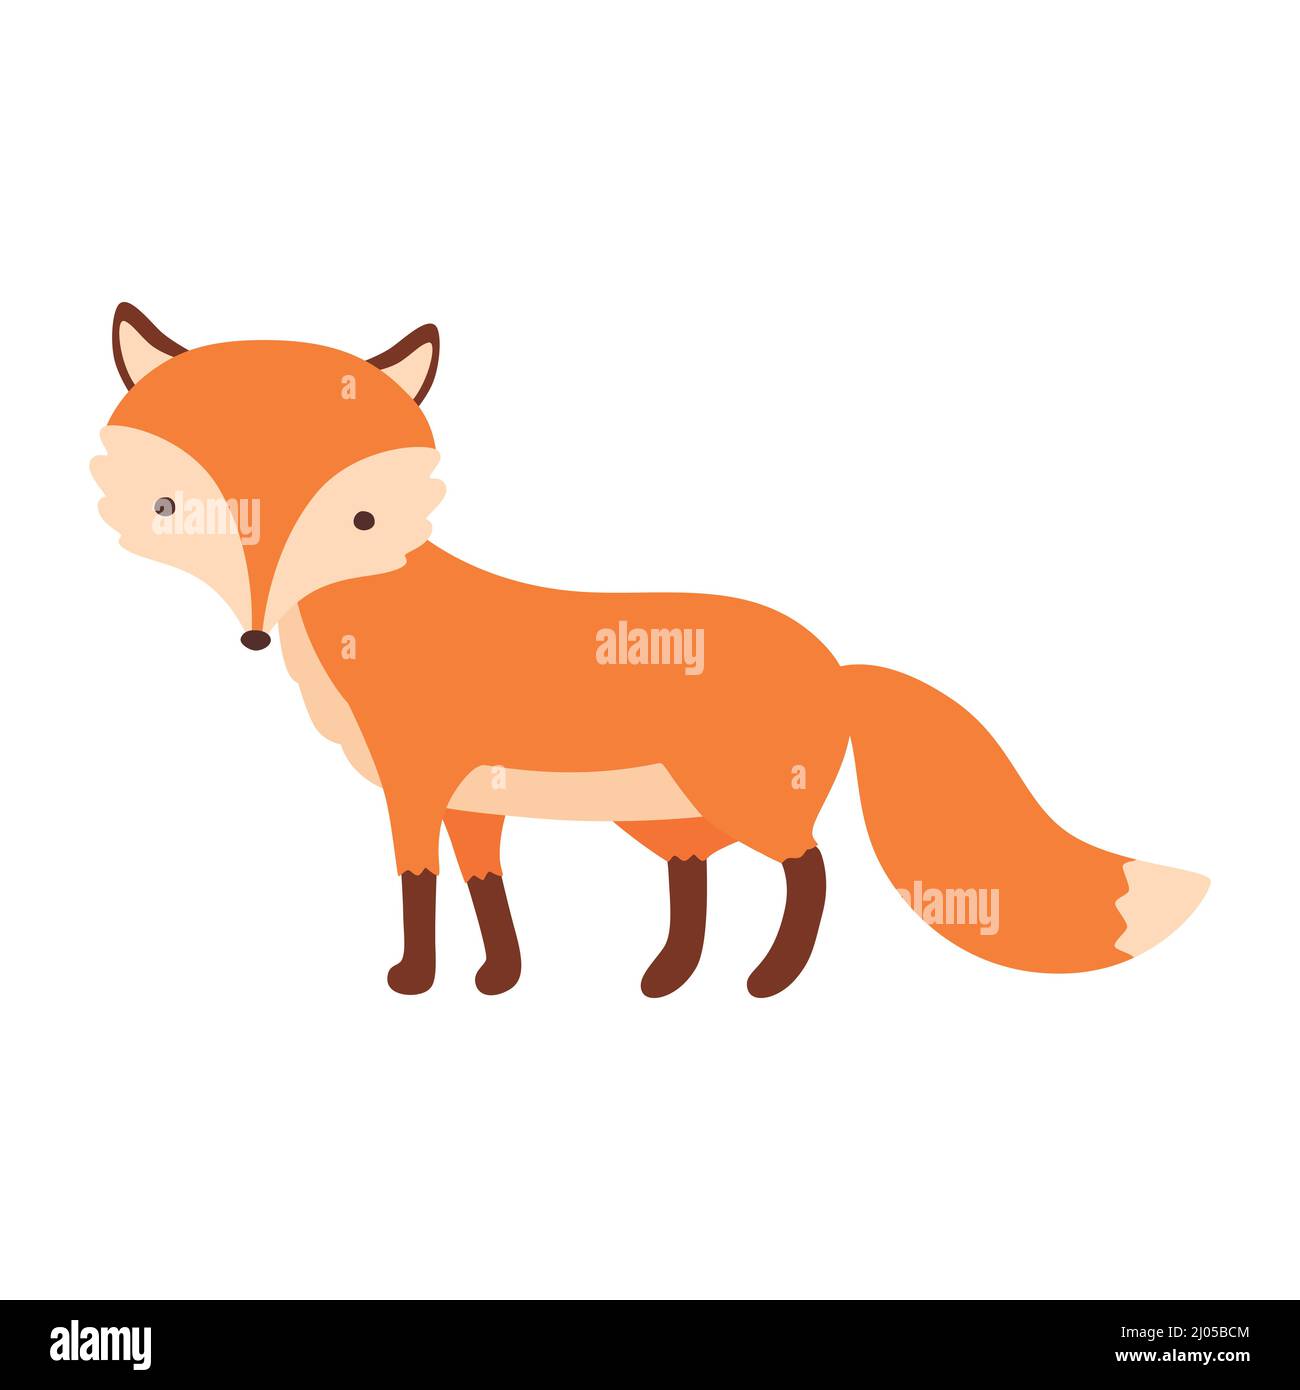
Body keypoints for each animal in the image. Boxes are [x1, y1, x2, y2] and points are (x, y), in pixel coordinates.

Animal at [91, 305, 1210, 997]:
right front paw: (498, 980)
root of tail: (838, 661)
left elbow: (418, 888)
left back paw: (770, 980)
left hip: (744, 799)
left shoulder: (417, 781)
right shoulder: (474, 797)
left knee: (810, 871)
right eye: (177, 506)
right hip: (661, 812)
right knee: (693, 883)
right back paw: (670, 979)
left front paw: (415, 979)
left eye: (356, 515)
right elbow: (486, 892)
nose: (252, 629)